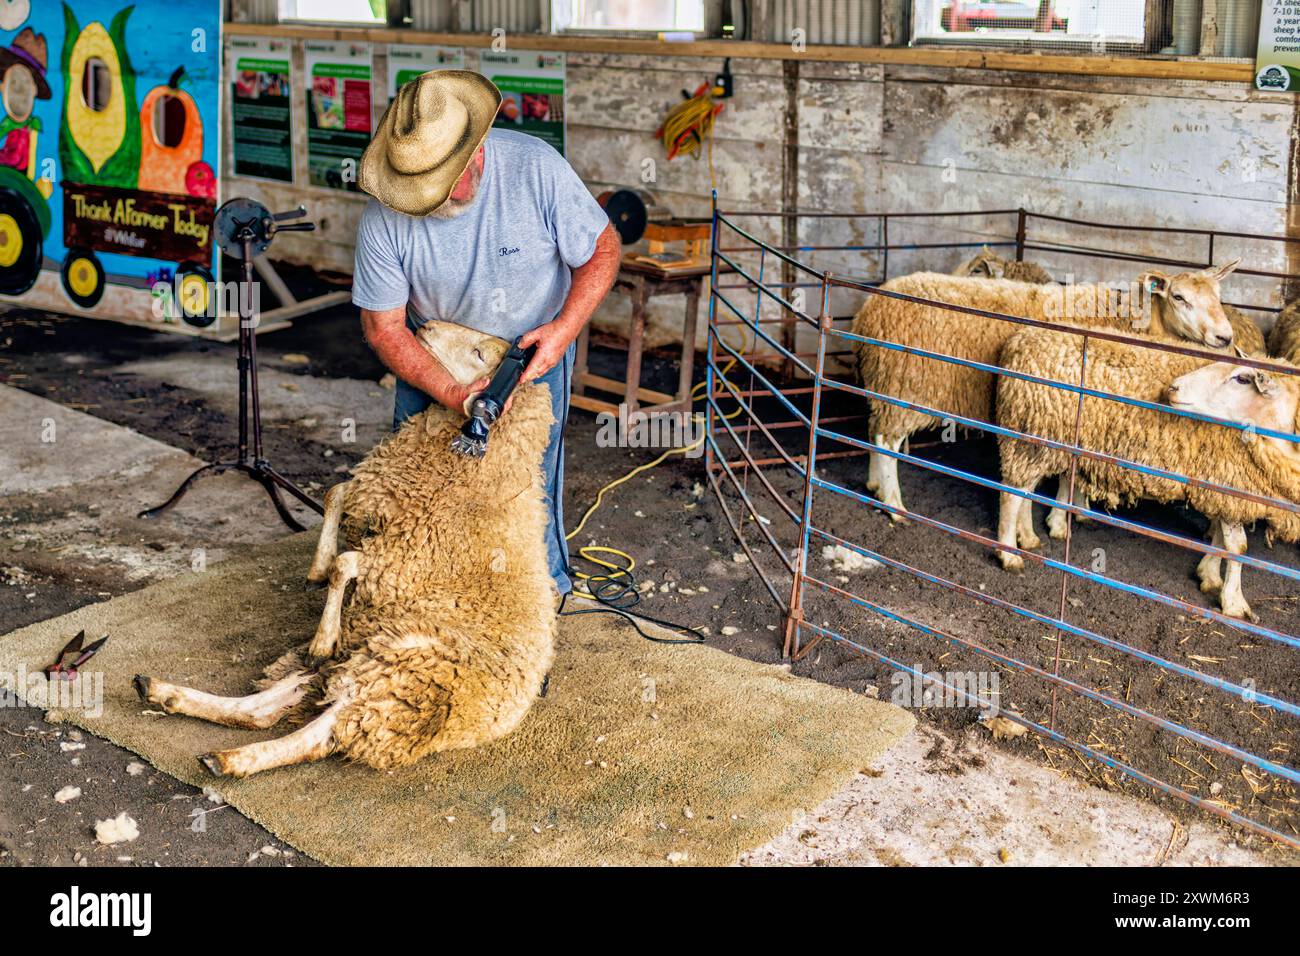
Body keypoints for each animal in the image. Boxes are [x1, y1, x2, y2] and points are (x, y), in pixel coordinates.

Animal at [133, 321, 559, 777]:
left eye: (479, 354)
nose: (426, 326)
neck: (484, 471)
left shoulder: (403, 563)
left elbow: (345, 562)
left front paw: (323, 630)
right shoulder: (381, 506)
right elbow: (335, 495)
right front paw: (316, 570)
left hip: (399, 676)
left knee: (316, 735)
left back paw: (230, 757)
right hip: (362, 654)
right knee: (264, 710)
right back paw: (164, 694)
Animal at [853, 259, 1246, 522]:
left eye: (1218, 296)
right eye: (1179, 297)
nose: (1224, 337)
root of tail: (872, 306)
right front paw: (1065, 516)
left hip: (884, 382)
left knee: (873, 429)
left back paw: (874, 485)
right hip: (905, 382)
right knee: (887, 441)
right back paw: (895, 505)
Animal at [994, 326, 1300, 620]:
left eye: (1243, 379)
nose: (1173, 387)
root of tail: (1020, 340)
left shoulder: (1223, 490)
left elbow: (1221, 541)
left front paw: (1209, 576)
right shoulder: (1228, 483)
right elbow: (1238, 548)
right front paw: (1234, 602)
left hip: (1040, 440)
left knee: (1025, 491)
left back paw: (1028, 538)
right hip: (1032, 435)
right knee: (1011, 494)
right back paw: (1009, 555)